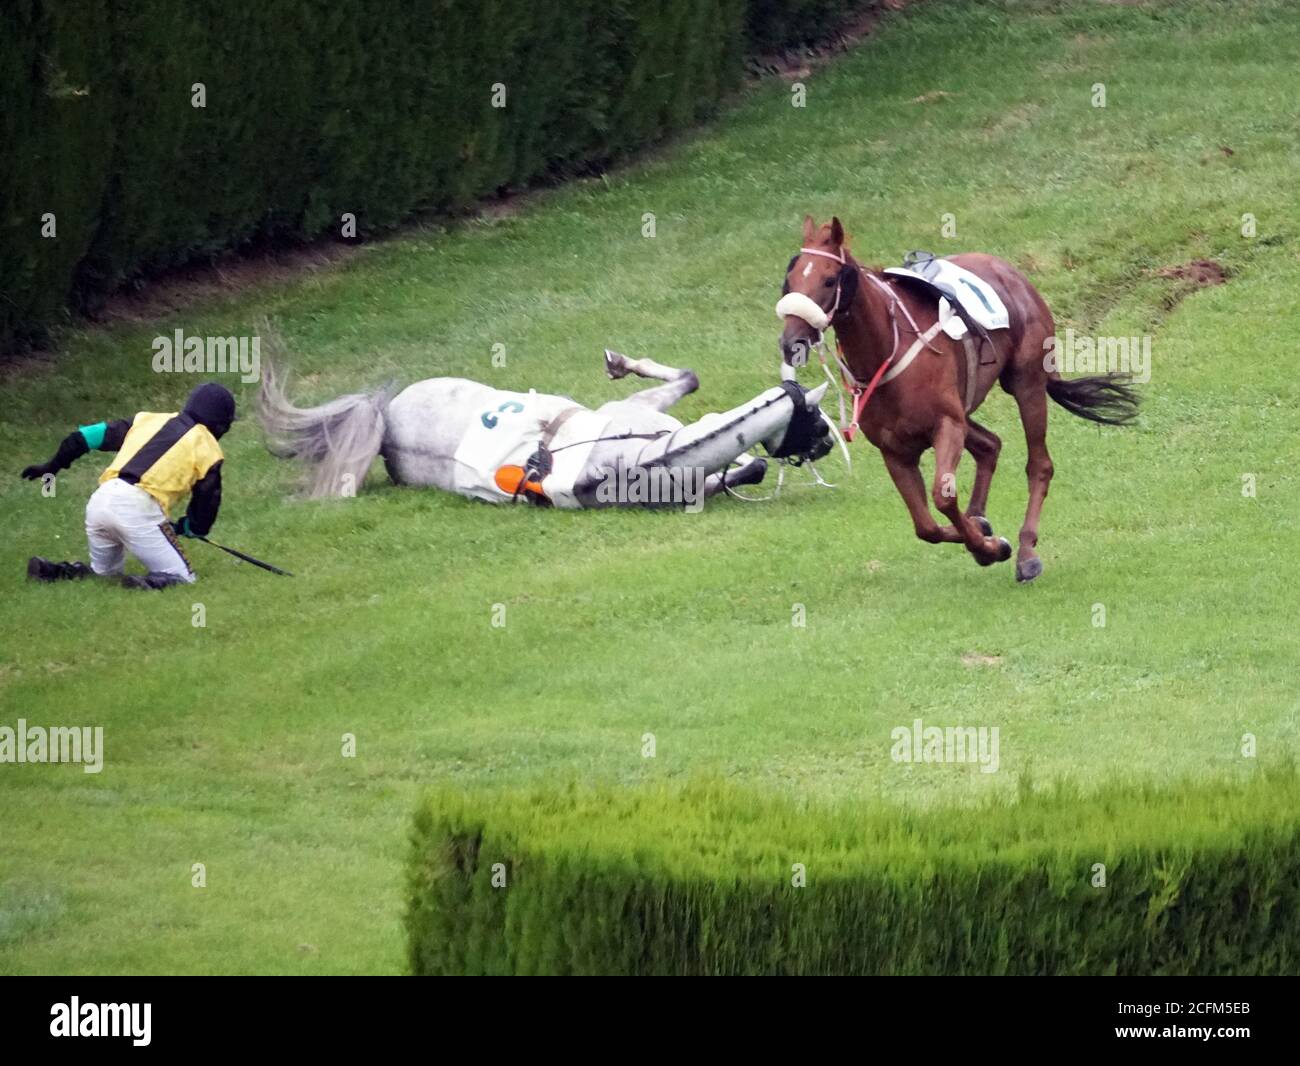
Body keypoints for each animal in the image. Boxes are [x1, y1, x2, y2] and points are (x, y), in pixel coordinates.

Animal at [258, 351, 837, 512]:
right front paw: (620, 363)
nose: (831, 441)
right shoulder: (639, 410)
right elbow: (689, 379)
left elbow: (749, 465)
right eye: (813, 418)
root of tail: (386, 421)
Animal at [769, 214, 1138, 582]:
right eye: (789, 281)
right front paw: (984, 537)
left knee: (1039, 465)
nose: (791, 342)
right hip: (966, 409)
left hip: (1026, 382)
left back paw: (1026, 552)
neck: (887, 347)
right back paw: (981, 520)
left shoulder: (947, 426)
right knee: (990, 445)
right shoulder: (895, 450)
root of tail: (1009, 271)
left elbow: (943, 499)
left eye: (829, 280)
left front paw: (990, 547)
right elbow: (926, 527)